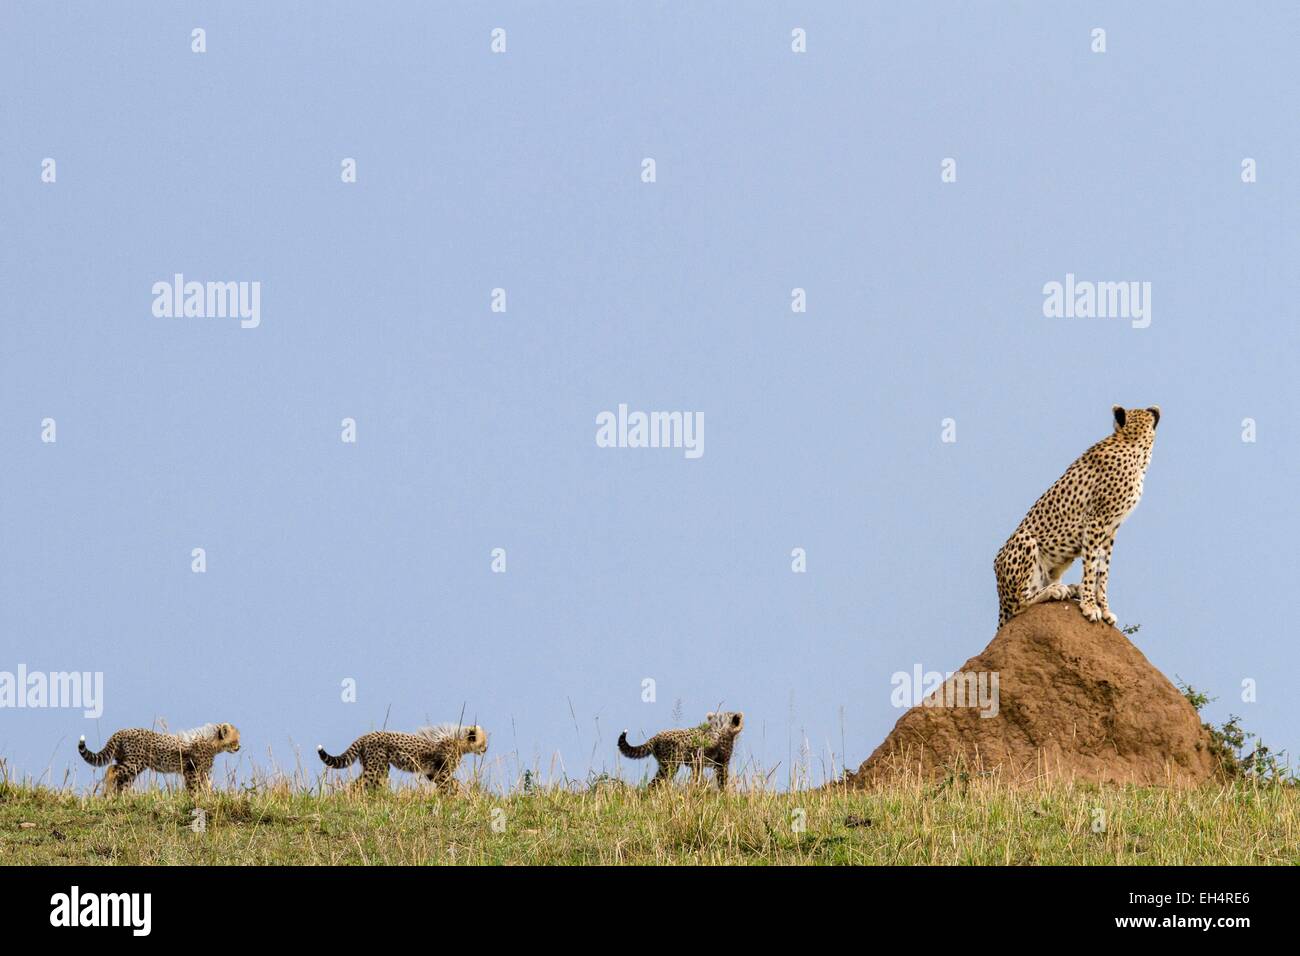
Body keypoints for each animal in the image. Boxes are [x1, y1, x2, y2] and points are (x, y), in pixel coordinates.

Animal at [78, 723, 242, 794]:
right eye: (235, 740)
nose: (239, 747)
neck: (212, 741)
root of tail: (121, 731)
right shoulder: (192, 770)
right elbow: (194, 788)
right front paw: (195, 799)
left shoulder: (202, 772)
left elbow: (206, 786)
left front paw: (209, 798)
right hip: (134, 763)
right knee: (111, 770)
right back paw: (107, 795)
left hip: (130, 765)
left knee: (121, 780)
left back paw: (118, 798)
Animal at [317, 724, 488, 792]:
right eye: (483, 742)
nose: (486, 749)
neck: (460, 744)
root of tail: (366, 736)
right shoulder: (442, 773)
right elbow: (448, 785)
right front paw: (450, 798)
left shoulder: (433, 772)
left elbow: (452, 782)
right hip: (376, 767)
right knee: (357, 785)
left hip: (379, 767)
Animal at [994, 405, 1160, 629]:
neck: (1135, 447)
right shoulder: (1095, 521)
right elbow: (1091, 566)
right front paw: (1090, 606)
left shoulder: (1111, 529)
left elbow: (1103, 571)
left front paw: (1103, 607)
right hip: (1024, 539)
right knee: (1019, 604)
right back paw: (1055, 590)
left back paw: (1071, 588)